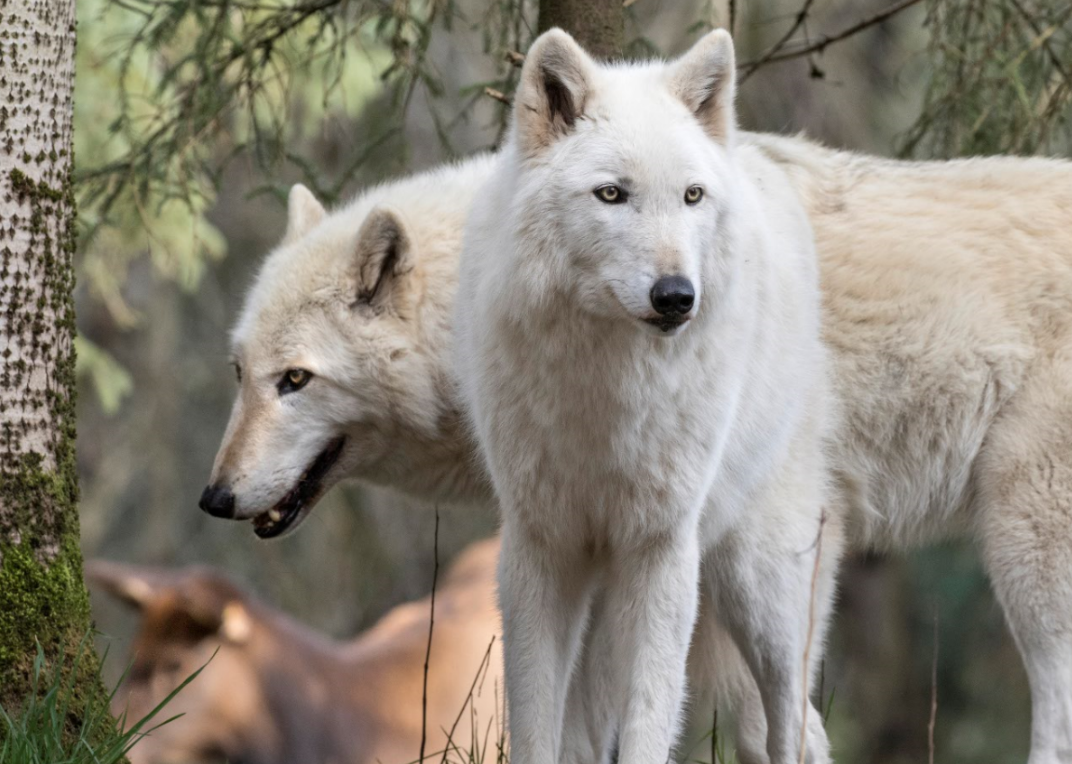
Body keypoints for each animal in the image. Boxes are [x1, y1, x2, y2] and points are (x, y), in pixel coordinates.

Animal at [453, 28, 838, 764]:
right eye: (611, 194)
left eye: (691, 196)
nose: (676, 296)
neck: (606, 391)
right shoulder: (541, 545)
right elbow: (538, 718)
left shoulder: (661, 548)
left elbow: (653, 712)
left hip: (758, 588)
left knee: (796, 720)